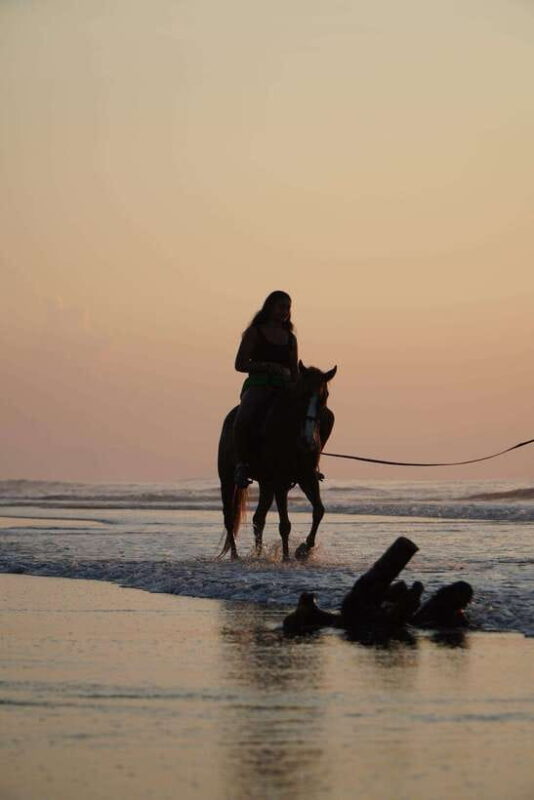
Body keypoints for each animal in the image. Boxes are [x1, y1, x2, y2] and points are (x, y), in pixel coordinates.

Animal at [217, 361, 337, 561]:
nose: (308, 440)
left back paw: (258, 554)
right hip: (227, 479)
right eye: (302, 394)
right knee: (229, 517)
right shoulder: (280, 480)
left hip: (266, 484)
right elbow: (285, 524)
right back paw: (235, 555)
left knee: (258, 518)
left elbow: (319, 510)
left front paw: (304, 549)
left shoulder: (307, 477)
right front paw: (287, 557)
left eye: (324, 396)